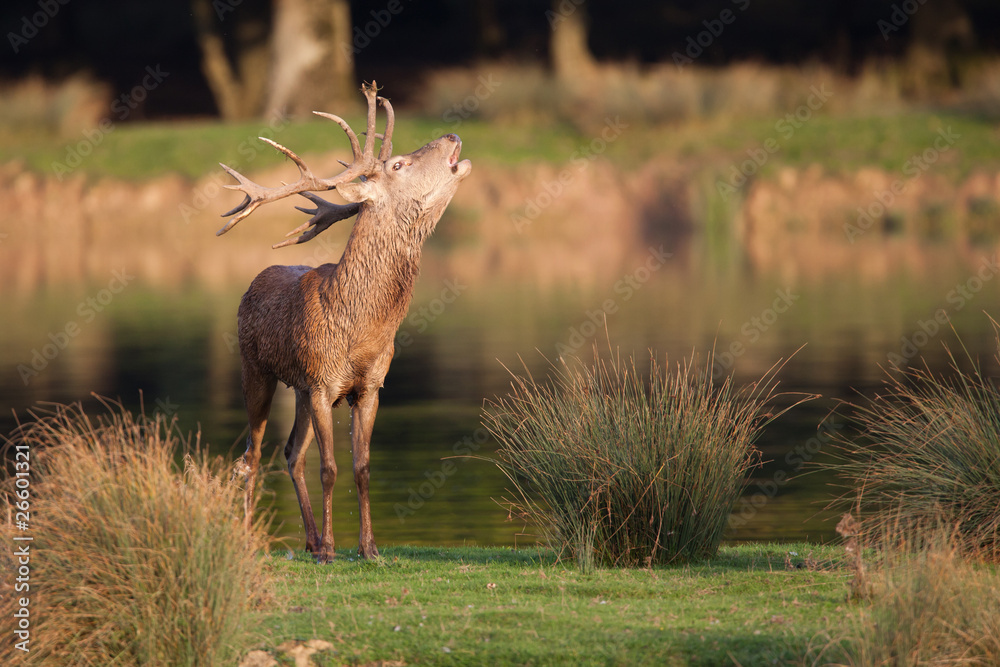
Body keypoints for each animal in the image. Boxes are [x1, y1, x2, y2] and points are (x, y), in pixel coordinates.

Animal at [217, 82, 471, 563]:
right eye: (398, 163)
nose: (452, 135)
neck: (360, 332)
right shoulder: (321, 383)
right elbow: (330, 469)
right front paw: (334, 549)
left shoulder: (369, 386)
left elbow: (362, 467)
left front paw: (369, 547)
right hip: (255, 369)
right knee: (251, 456)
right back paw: (253, 538)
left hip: (298, 388)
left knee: (291, 452)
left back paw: (310, 539)